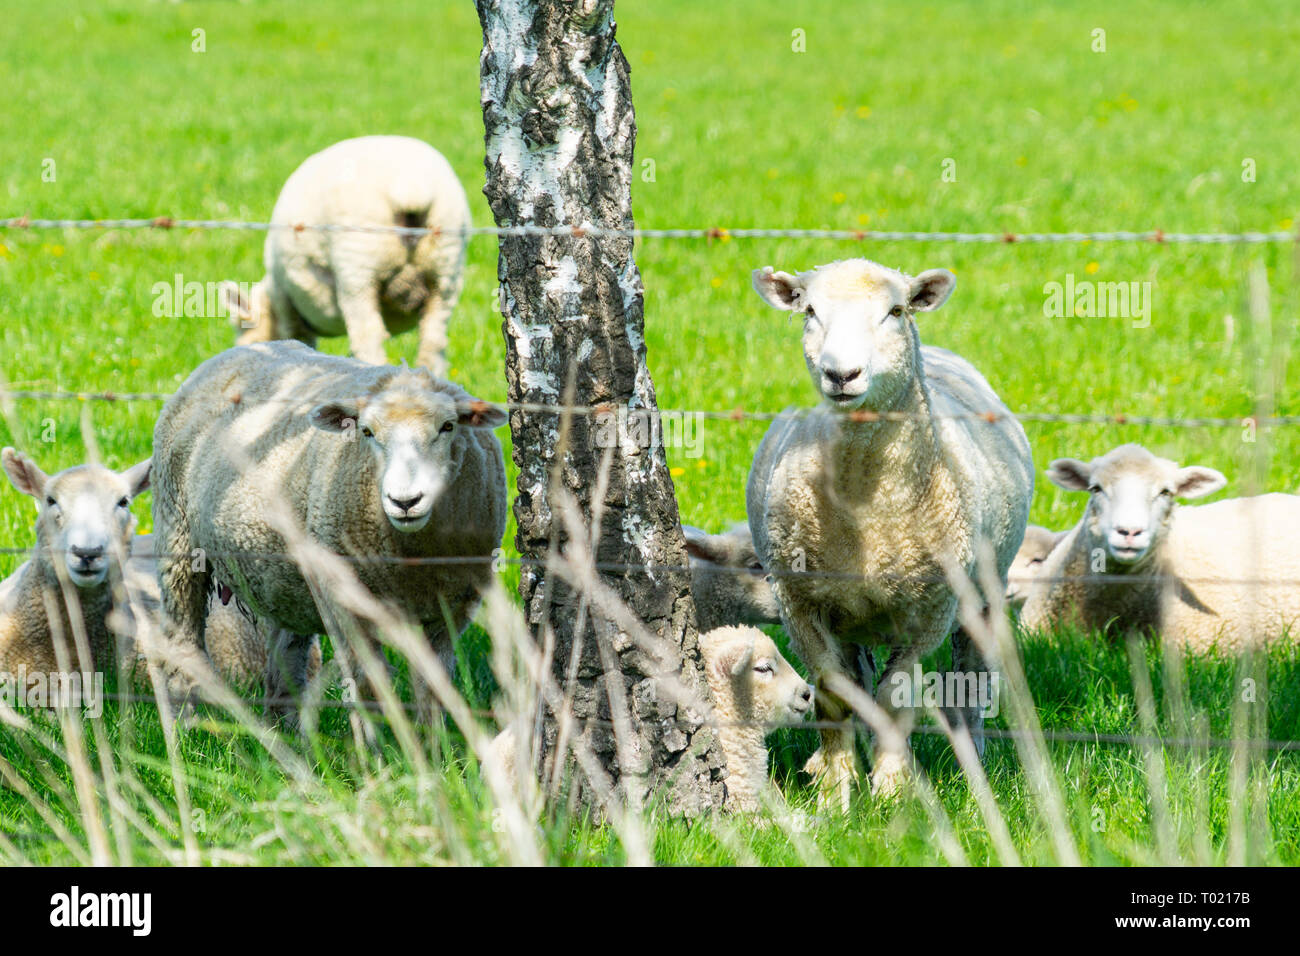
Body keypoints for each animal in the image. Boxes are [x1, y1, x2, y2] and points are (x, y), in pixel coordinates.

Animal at [151, 340, 507, 724]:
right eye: (366, 432)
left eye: (448, 426)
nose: (405, 501)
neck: (412, 560)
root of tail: (241, 350)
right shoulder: (343, 598)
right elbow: (366, 684)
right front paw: (376, 740)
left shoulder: (456, 605)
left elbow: (433, 689)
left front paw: (433, 740)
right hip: (177, 536)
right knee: (181, 643)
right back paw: (183, 723)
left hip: (282, 576)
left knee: (285, 655)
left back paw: (283, 729)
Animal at [221, 136, 471, 377]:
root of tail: (412, 190)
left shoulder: (287, 307)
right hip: (445, 271)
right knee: (433, 344)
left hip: (357, 267)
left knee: (368, 338)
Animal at [747, 258, 1034, 807]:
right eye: (809, 311)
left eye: (895, 311)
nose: (841, 374)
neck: (869, 512)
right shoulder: (800, 603)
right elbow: (835, 693)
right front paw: (836, 790)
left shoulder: (931, 609)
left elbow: (895, 695)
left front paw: (891, 791)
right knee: (857, 676)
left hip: (984, 591)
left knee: (971, 678)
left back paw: (975, 761)